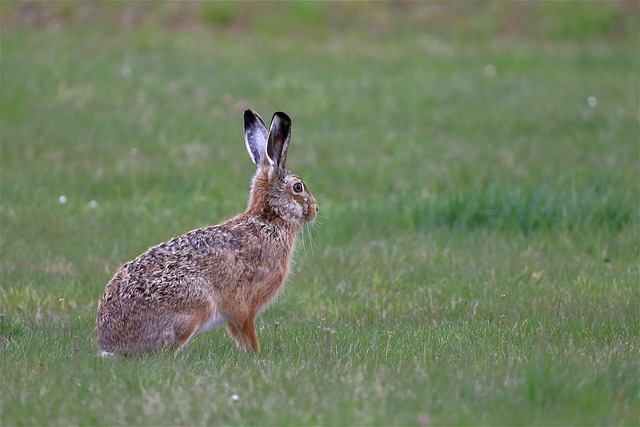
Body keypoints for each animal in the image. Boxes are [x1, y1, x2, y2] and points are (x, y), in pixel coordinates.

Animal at [97, 109, 318, 356]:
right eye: (298, 187)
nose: (315, 209)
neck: (269, 219)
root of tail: (111, 343)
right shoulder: (244, 306)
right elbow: (247, 332)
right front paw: (257, 355)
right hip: (197, 305)